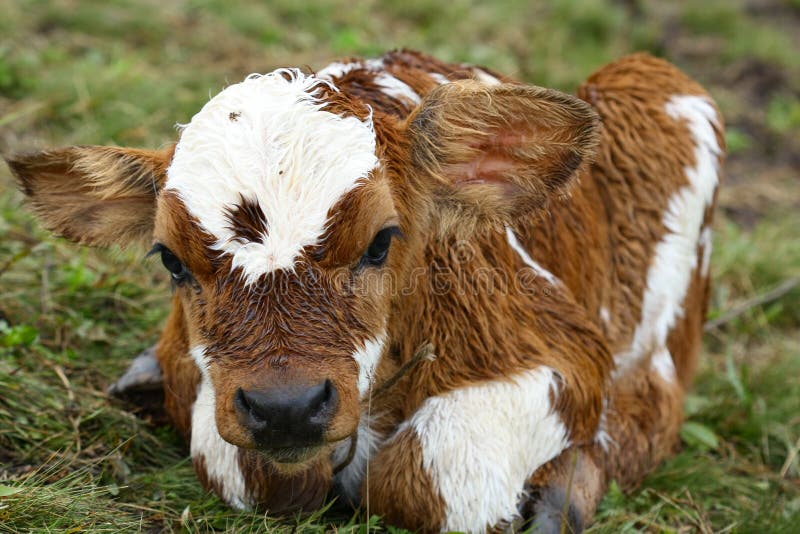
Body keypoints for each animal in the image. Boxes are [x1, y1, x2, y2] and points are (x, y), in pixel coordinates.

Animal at [6, 49, 724, 532]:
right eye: (169, 260)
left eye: (381, 242)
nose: (287, 407)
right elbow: (249, 469)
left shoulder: (564, 348)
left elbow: (422, 474)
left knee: (643, 415)